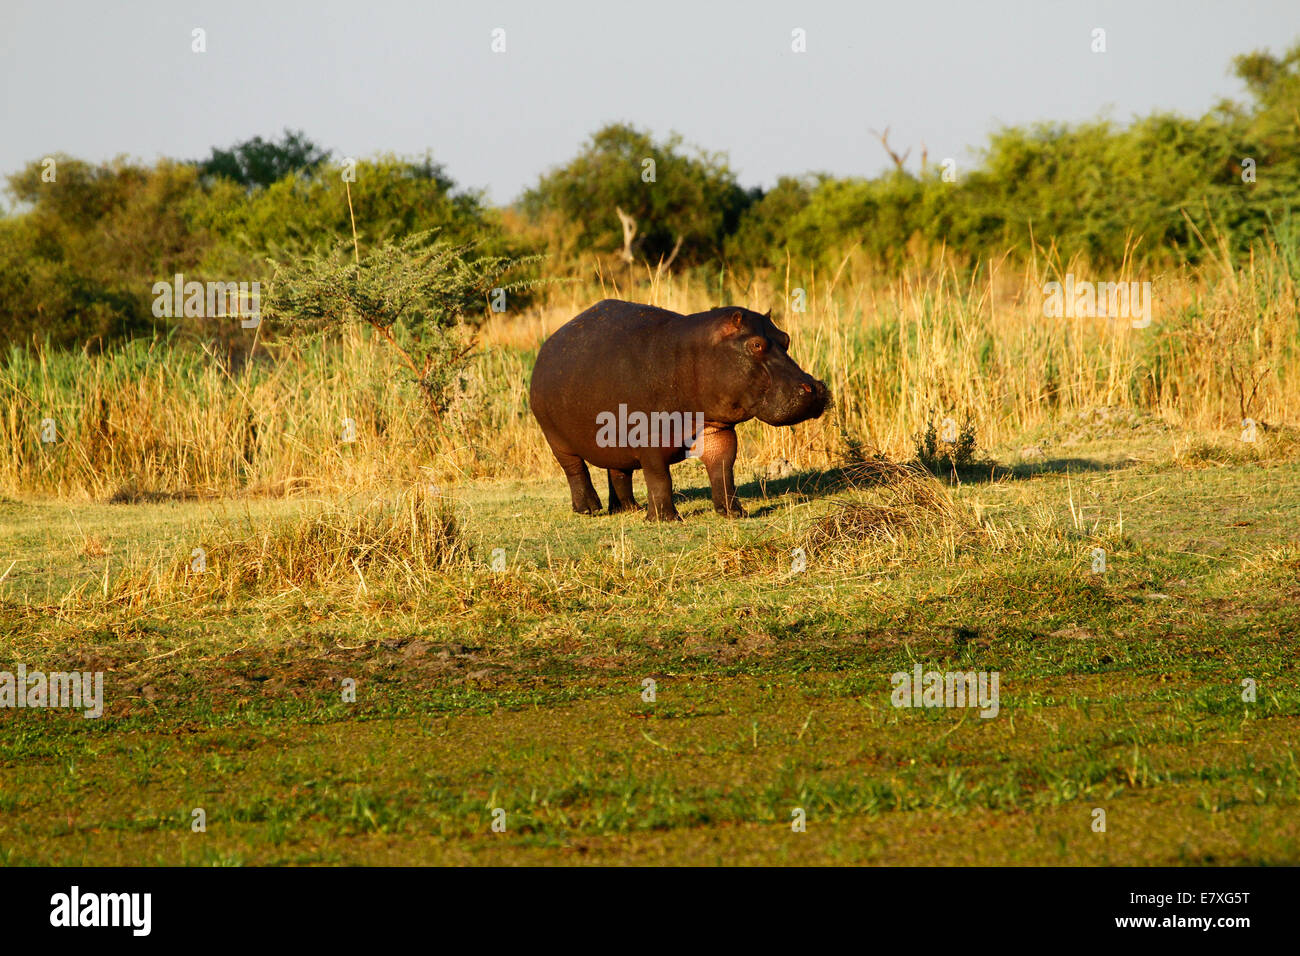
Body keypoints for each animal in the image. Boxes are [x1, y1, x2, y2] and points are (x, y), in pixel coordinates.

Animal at [529, 299, 829, 521]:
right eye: (756, 344)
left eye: (786, 338)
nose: (815, 388)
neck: (694, 354)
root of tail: (547, 346)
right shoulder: (648, 437)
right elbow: (659, 477)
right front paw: (665, 519)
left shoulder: (717, 429)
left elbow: (723, 470)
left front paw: (734, 513)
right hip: (556, 439)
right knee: (576, 471)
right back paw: (589, 509)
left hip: (612, 441)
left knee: (619, 473)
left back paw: (628, 508)